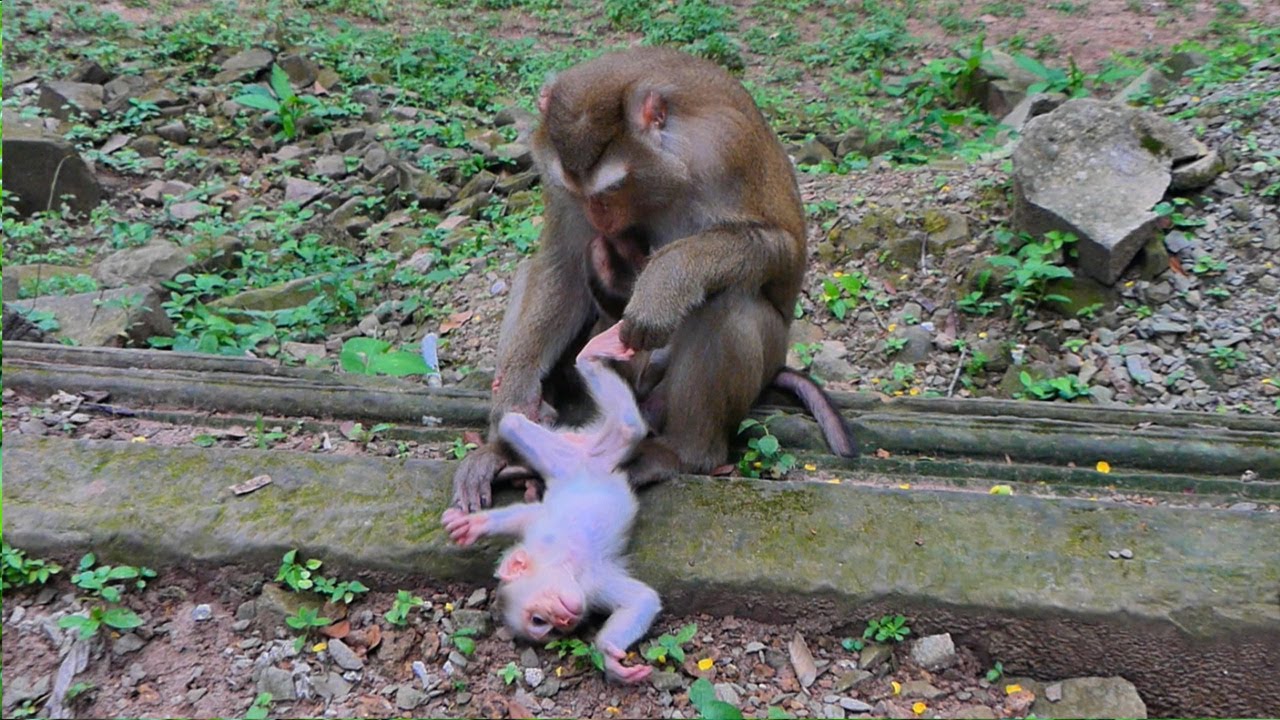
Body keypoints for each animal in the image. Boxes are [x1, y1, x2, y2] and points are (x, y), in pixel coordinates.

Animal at [441, 323, 660, 684]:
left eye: (538, 619)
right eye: (545, 628)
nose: (564, 620)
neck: (564, 563)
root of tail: (580, 446)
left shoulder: (578, 575)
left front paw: (473, 524)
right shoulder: (588, 589)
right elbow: (644, 600)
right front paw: (609, 656)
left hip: (573, 457)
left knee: (619, 426)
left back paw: (587, 358)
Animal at [452, 46, 856, 513]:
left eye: (611, 190)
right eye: (582, 193)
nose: (599, 216)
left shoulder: (725, 146)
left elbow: (779, 246)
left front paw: (664, 283)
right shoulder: (553, 174)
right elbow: (561, 265)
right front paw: (515, 399)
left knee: (727, 301)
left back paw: (683, 454)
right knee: (531, 272)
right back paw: (507, 453)